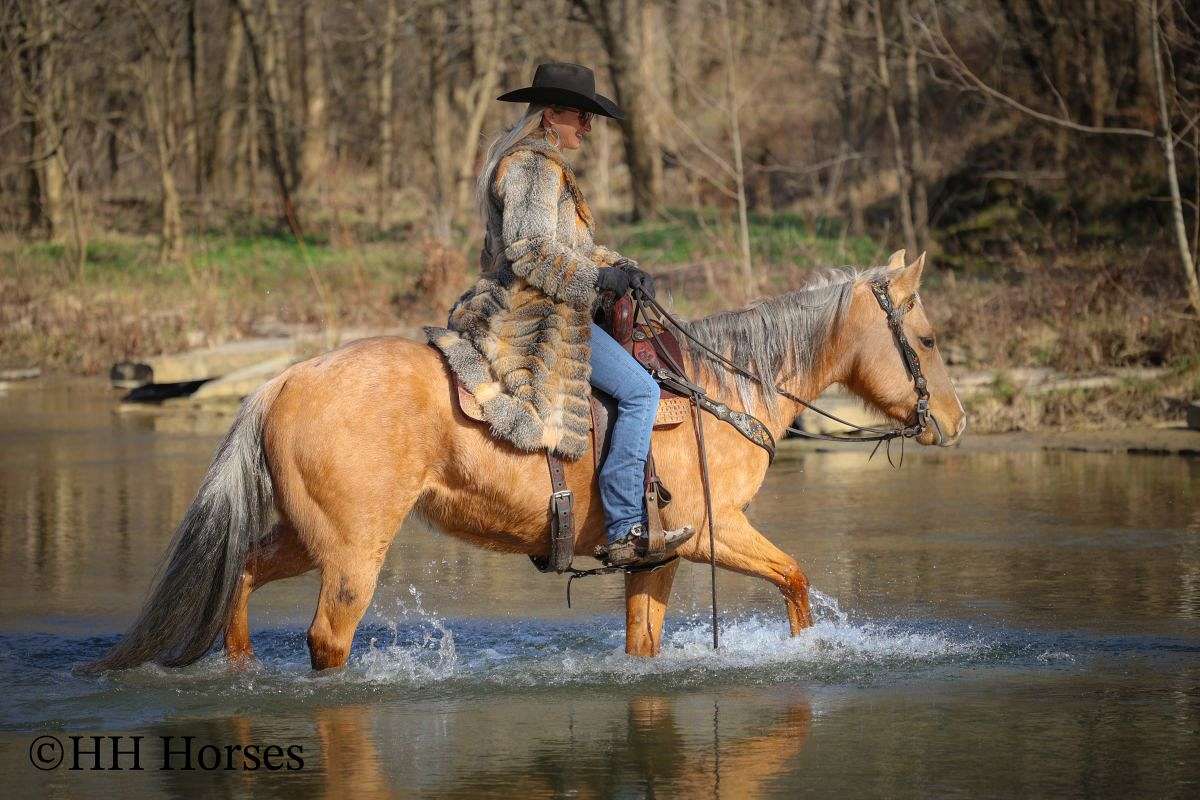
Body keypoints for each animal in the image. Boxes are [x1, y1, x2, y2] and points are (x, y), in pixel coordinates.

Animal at [86, 250, 965, 672]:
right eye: (925, 339)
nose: (955, 423)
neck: (717, 389)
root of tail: (282, 379)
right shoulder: (715, 530)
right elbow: (796, 579)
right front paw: (806, 655)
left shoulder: (658, 554)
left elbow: (644, 644)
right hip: (352, 554)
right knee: (328, 640)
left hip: (308, 540)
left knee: (239, 576)